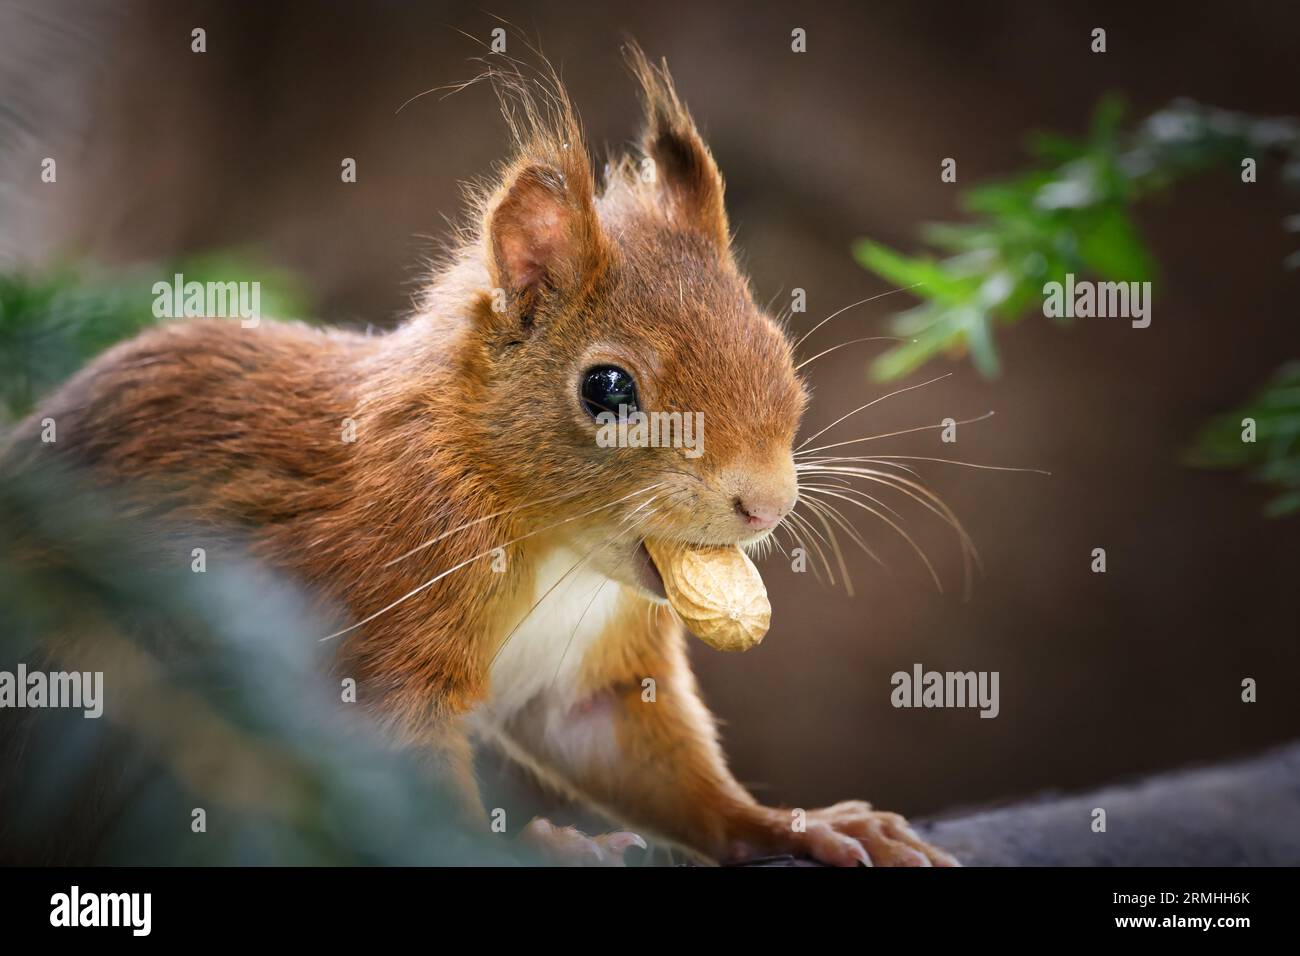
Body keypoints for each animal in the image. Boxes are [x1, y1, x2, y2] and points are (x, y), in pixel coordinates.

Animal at [3, 47, 957, 867]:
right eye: (608, 388)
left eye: (776, 348)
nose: (766, 503)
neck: (557, 544)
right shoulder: (390, 604)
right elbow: (403, 762)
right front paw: (539, 843)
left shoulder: (595, 678)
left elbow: (635, 749)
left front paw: (798, 823)